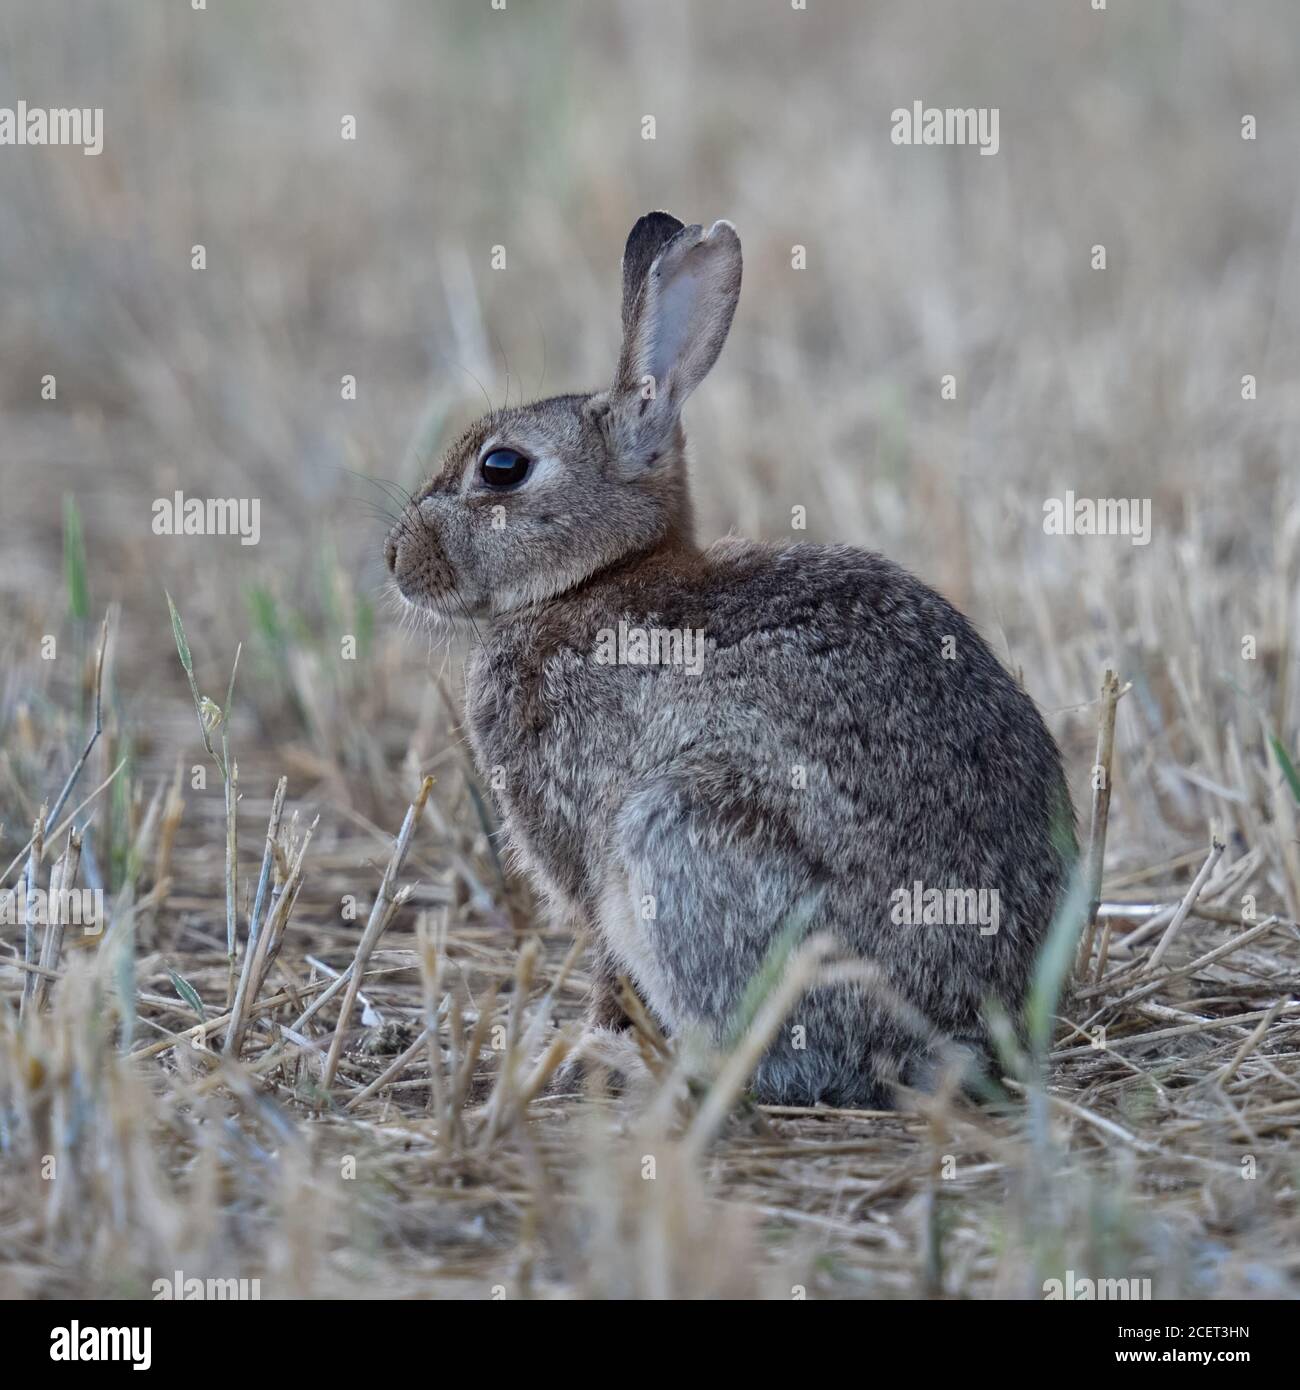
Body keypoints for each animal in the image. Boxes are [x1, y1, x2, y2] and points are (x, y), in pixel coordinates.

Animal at [386, 211, 1077, 1107]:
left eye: (502, 468)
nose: (397, 560)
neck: (597, 577)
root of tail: (969, 1032)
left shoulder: (590, 854)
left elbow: (610, 968)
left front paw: (586, 1045)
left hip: (682, 832)